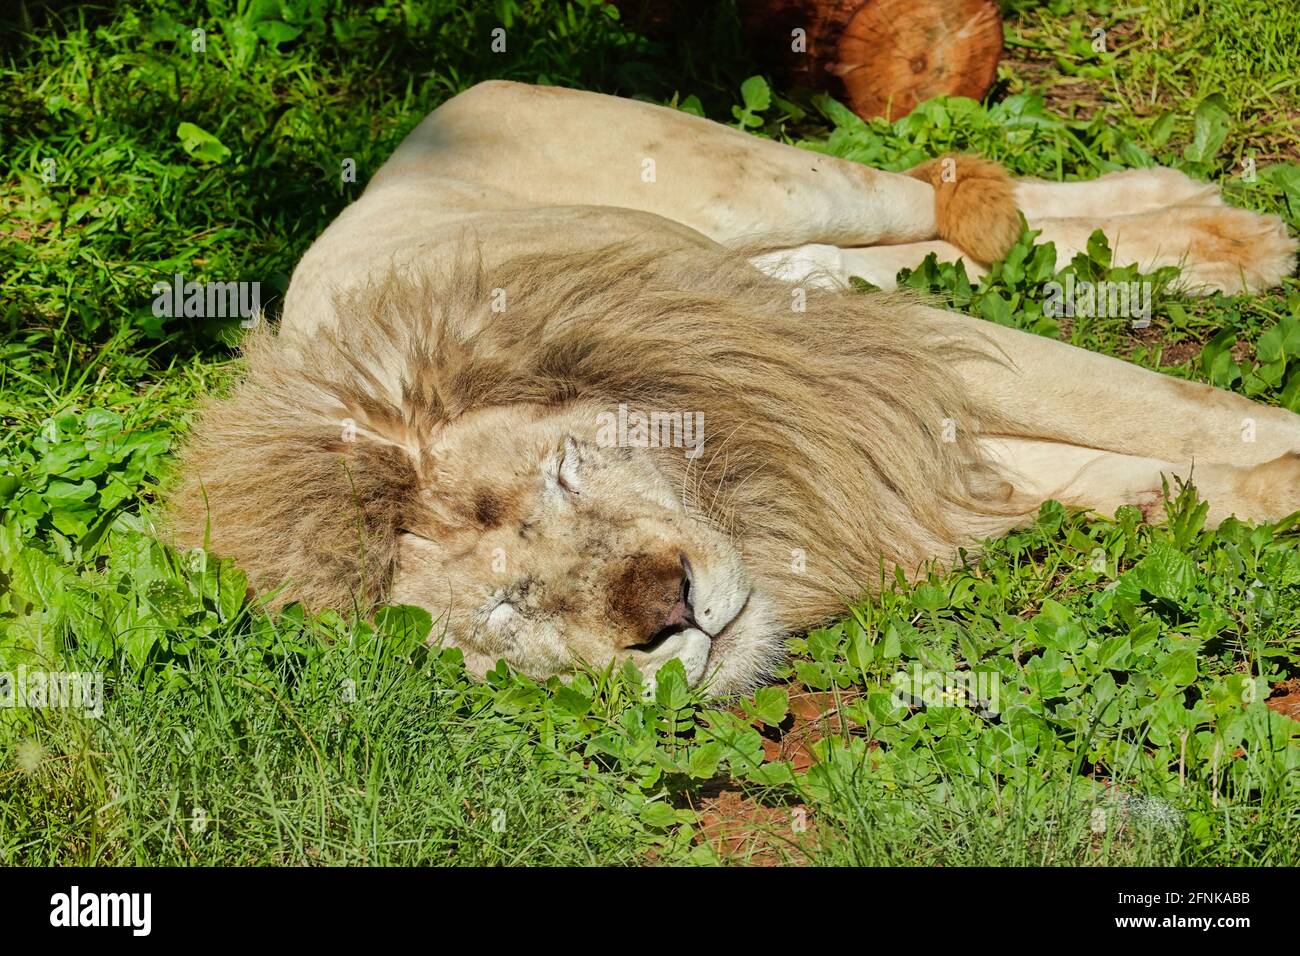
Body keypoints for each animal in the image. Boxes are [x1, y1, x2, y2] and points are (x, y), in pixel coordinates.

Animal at [168, 81, 1300, 695]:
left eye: (569, 473)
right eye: (503, 607)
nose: (668, 603)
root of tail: (425, 122)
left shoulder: (875, 372)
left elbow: (1163, 406)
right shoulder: (888, 440)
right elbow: (1107, 470)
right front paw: (1246, 495)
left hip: (763, 179)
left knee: (952, 198)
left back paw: (1216, 227)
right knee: (935, 249)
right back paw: (1212, 242)